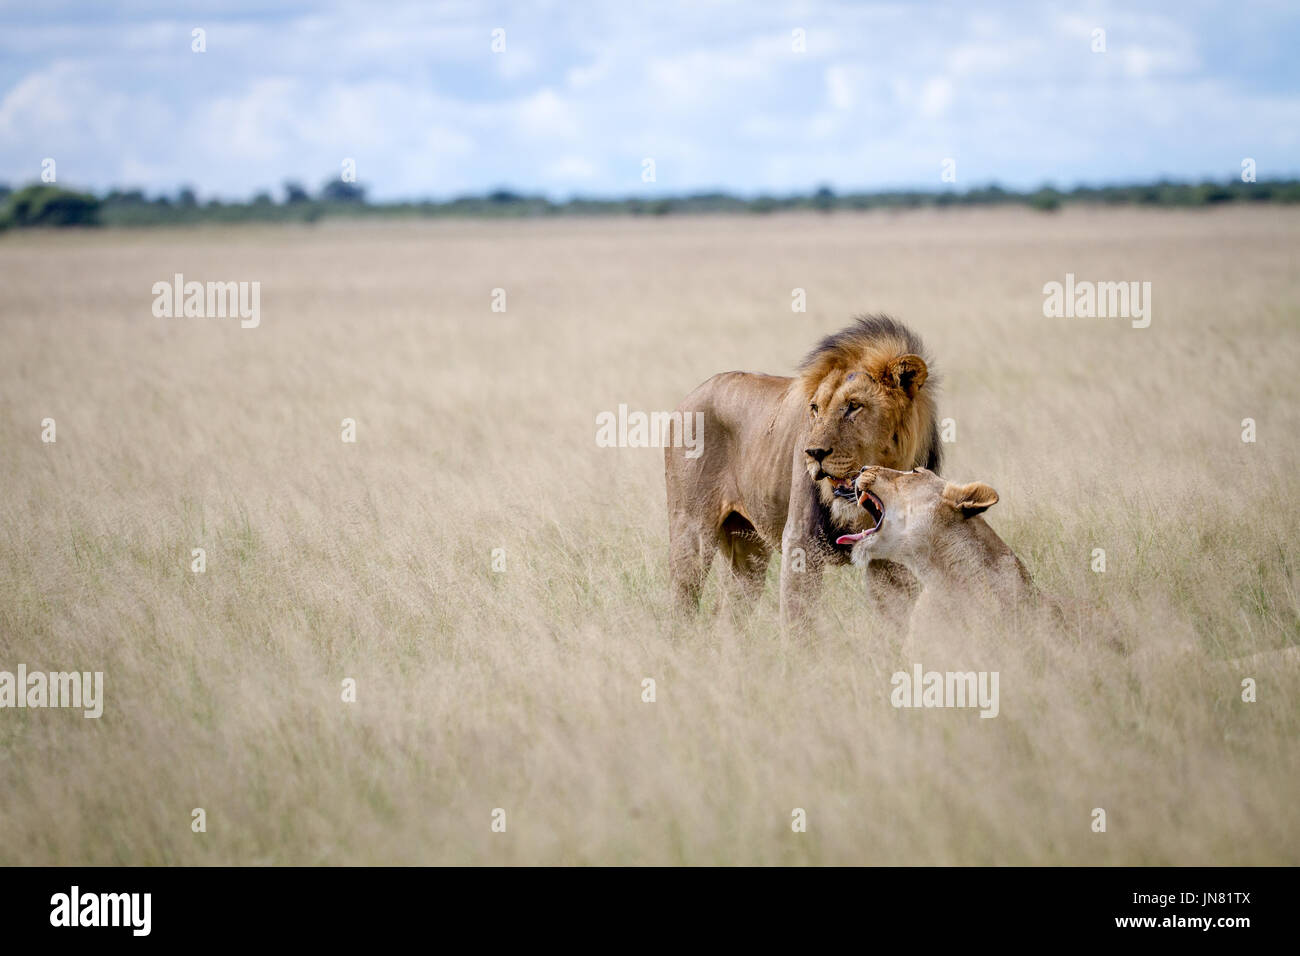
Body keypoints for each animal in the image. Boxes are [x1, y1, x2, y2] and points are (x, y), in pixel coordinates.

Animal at [664, 315, 941, 626]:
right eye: (815, 408)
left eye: (854, 406)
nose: (814, 453)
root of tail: (692, 394)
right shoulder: (801, 542)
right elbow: (799, 625)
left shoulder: (892, 556)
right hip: (691, 532)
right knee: (681, 602)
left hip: (747, 548)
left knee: (728, 614)